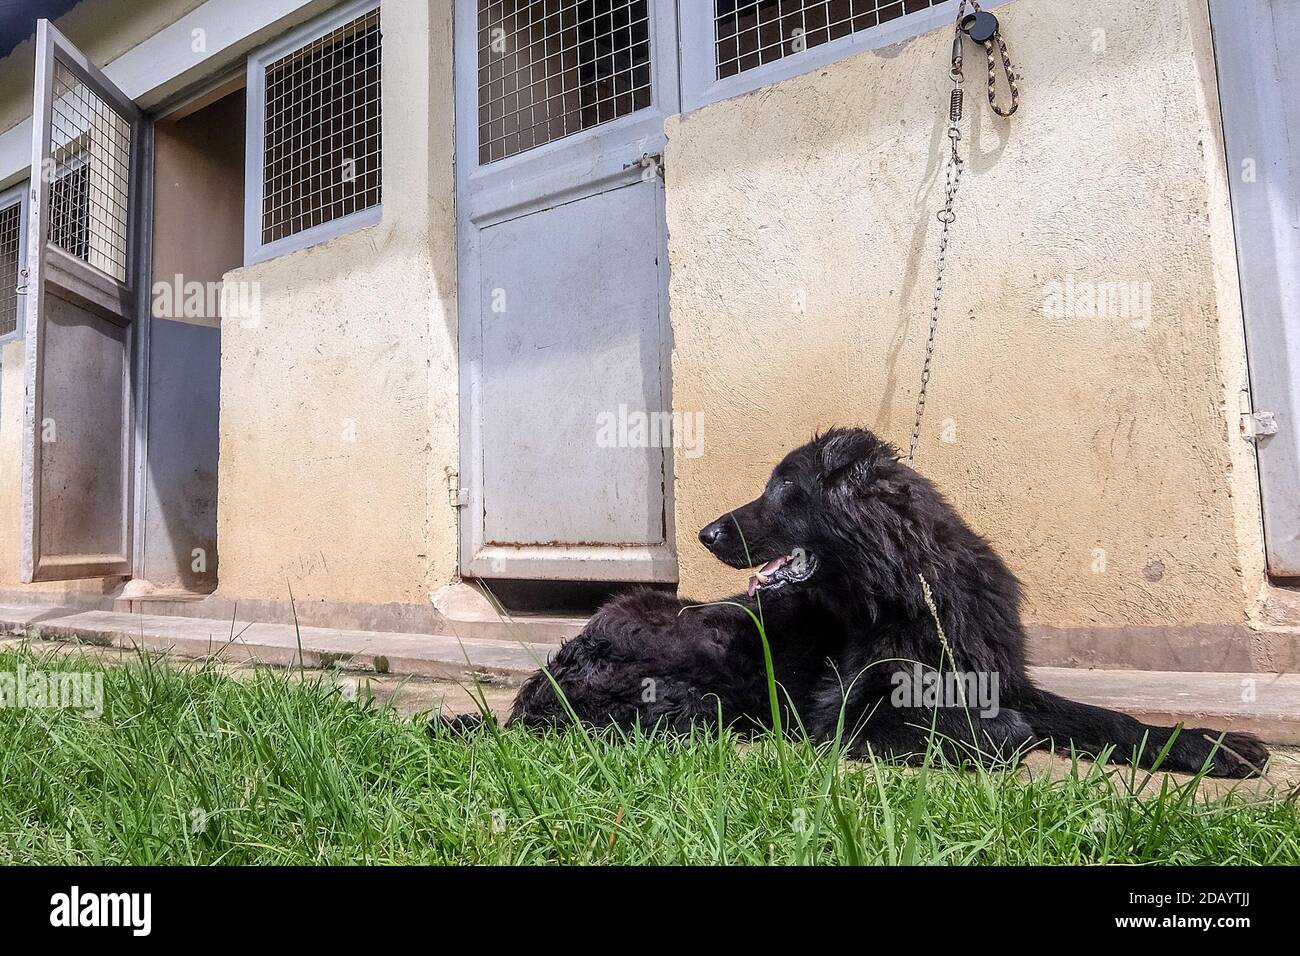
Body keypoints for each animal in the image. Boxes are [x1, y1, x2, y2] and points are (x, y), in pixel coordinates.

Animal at [439, 429, 1268, 780]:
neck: (908, 592)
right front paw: (1003, 735)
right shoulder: (842, 714)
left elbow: (1107, 717)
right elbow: (1001, 731)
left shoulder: (998, 672)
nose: (704, 532)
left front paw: (1210, 745)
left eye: (784, 488)